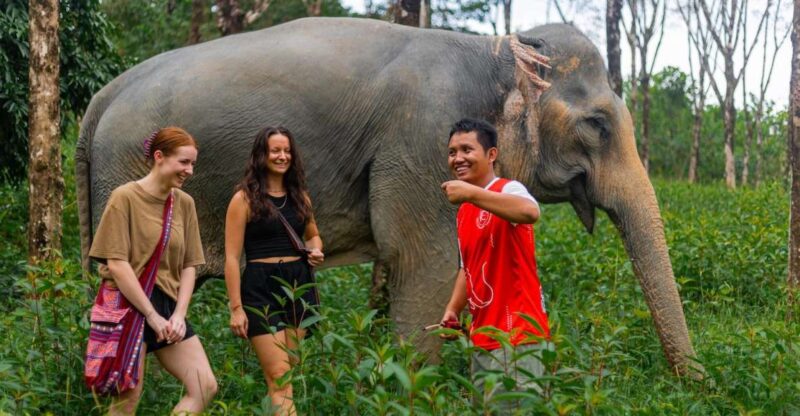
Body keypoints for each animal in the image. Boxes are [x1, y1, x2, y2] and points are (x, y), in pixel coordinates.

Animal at [76, 17, 700, 376]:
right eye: (597, 124)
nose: (691, 386)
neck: (494, 50)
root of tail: (100, 99)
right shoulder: (422, 138)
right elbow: (425, 263)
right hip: (131, 175)